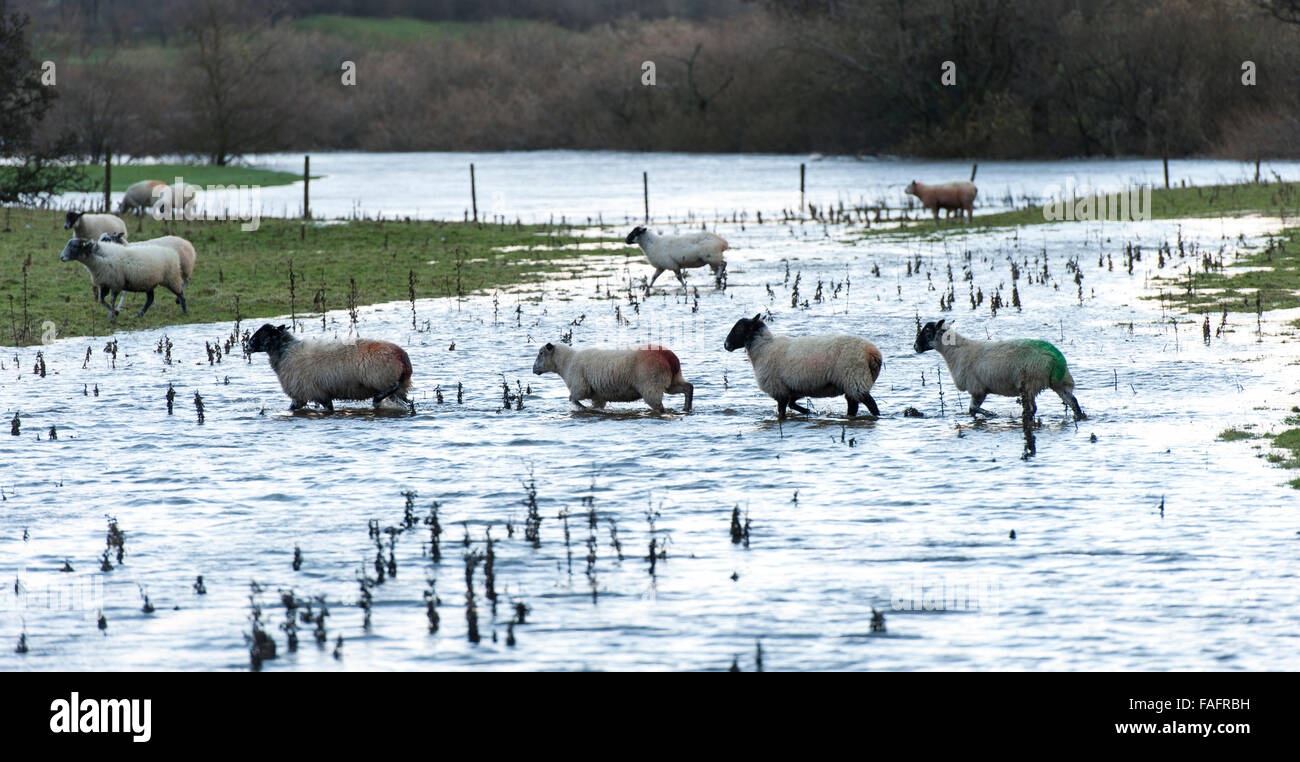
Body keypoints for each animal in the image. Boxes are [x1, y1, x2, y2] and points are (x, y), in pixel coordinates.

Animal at [247, 324, 413, 412]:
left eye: (265, 335)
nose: (247, 346)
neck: (287, 353)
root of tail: (403, 357)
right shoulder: (310, 395)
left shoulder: (312, 393)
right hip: (401, 388)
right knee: (408, 401)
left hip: (383, 381)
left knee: (389, 391)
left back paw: (377, 399)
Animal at [532, 341, 693, 414]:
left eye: (541, 353)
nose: (533, 369)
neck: (567, 362)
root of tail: (670, 357)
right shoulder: (597, 396)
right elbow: (595, 405)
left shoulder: (580, 387)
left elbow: (572, 399)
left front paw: (584, 408)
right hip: (672, 380)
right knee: (688, 387)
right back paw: (686, 408)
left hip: (651, 385)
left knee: (660, 408)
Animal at [723, 314, 882, 419]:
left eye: (739, 329)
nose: (726, 345)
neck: (763, 348)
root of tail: (872, 352)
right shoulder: (793, 389)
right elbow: (791, 404)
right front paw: (808, 412)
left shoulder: (779, 389)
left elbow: (782, 411)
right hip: (853, 383)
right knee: (854, 405)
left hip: (855, 379)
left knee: (870, 405)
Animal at [913, 318, 1085, 420]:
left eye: (927, 331)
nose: (915, 346)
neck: (956, 351)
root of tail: (1055, 358)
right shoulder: (979, 389)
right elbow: (972, 410)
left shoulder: (978, 389)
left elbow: (973, 409)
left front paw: (992, 414)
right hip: (1058, 383)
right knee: (1073, 402)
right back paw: (1079, 416)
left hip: (1030, 383)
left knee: (1033, 408)